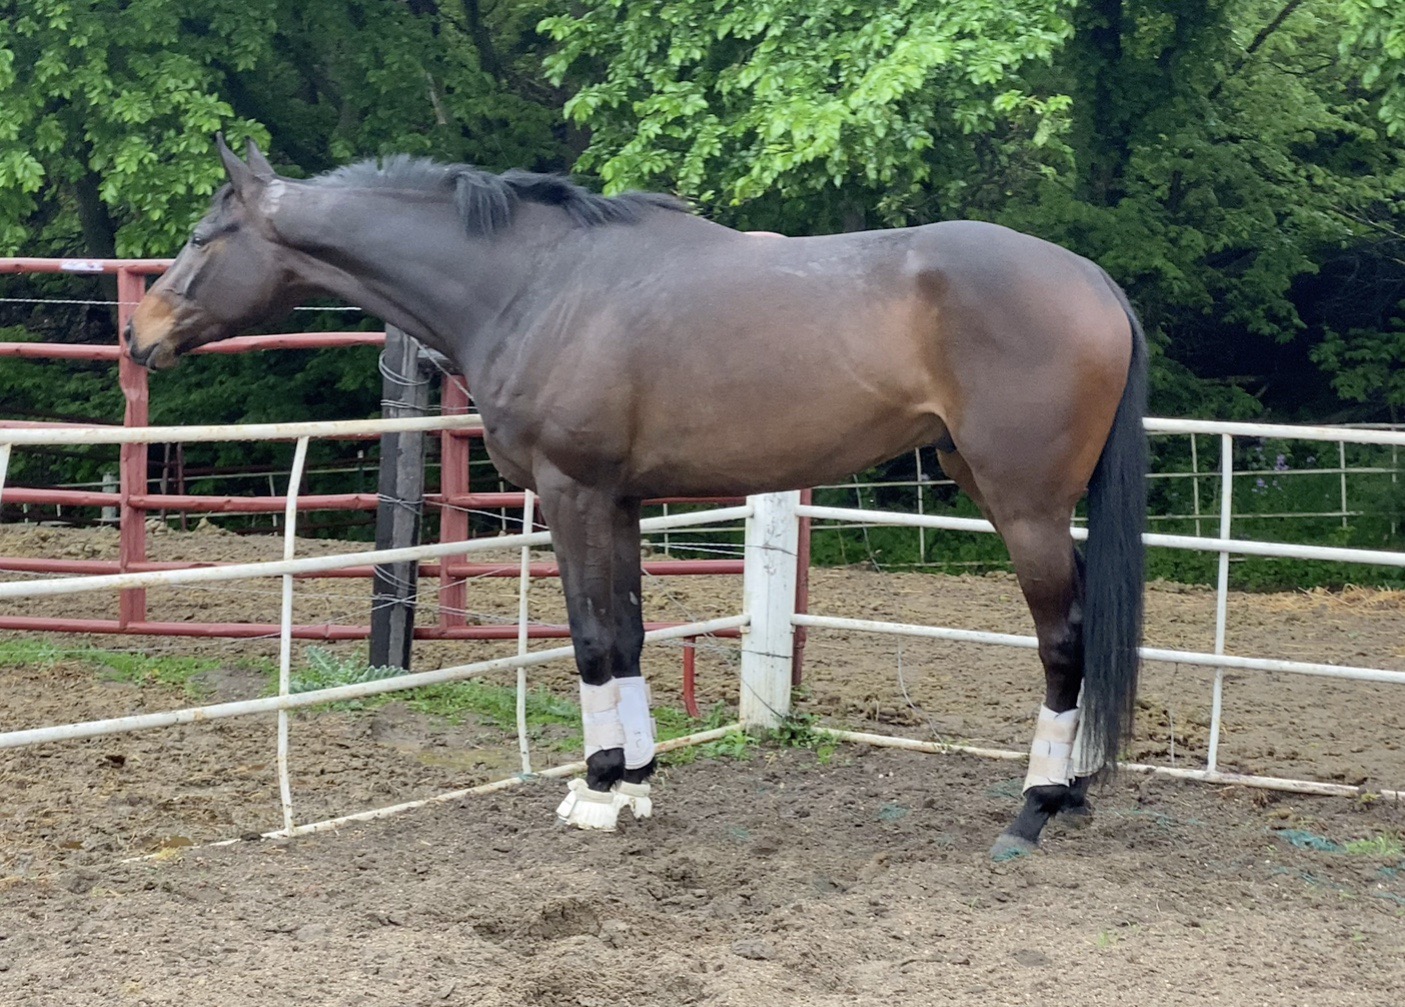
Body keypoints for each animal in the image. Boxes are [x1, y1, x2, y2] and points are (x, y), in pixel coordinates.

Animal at [128, 137, 1147, 857]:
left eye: (202, 238)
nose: (138, 333)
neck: (535, 285)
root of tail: (1093, 278)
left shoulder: (571, 494)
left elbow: (588, 638)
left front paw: (596, 785)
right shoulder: (615, 503)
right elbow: (625, 632)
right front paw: (637, 778)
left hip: (1021, 504)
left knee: (1061, 640)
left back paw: (1032, 808)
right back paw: (1071, 790)